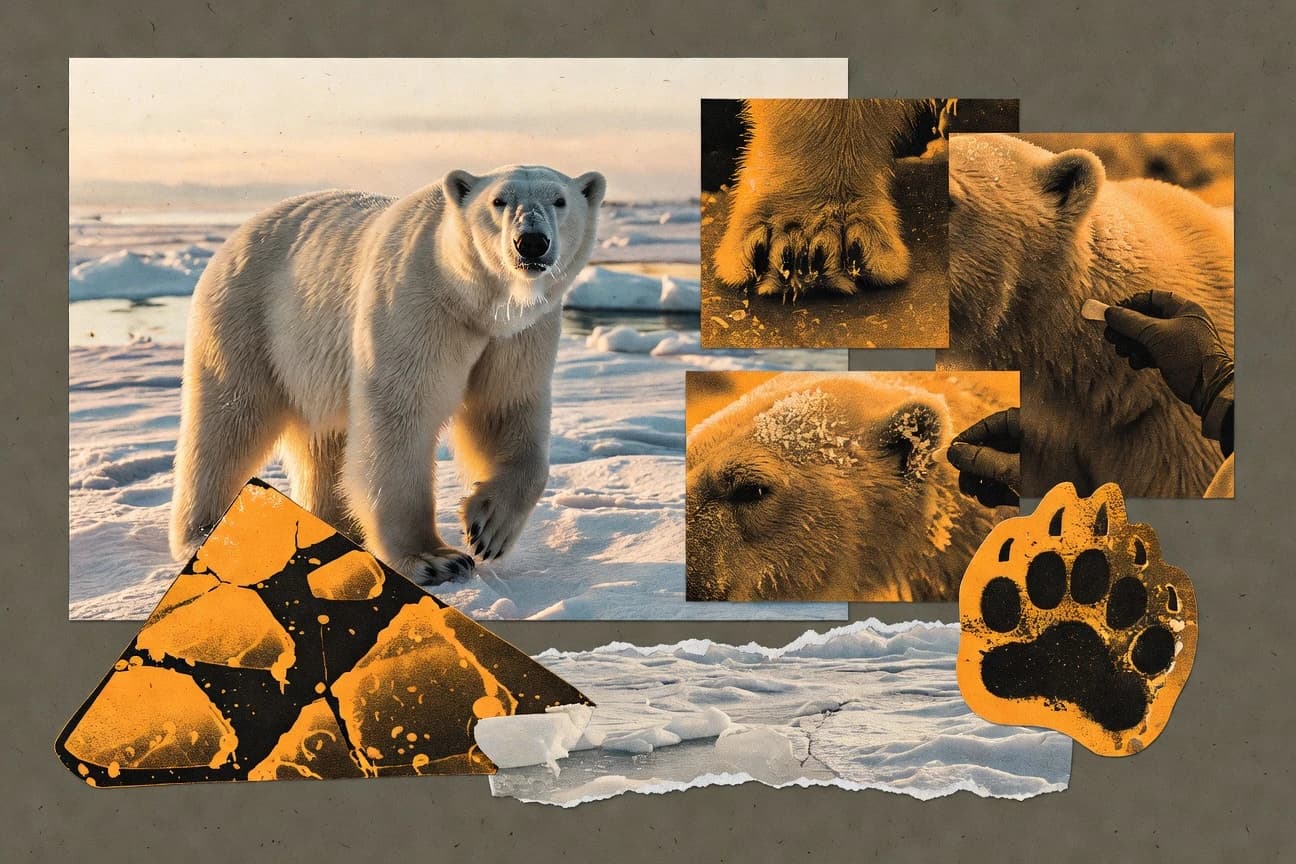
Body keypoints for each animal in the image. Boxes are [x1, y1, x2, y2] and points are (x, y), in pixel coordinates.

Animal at [169, 164, 607, 585]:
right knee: (228, 422)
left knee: (322, 439)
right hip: (248, 317)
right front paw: (435, 560)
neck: (472, 300)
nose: (531, 242)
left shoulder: (518, 334)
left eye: (559, 200)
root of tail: (237, 235)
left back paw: (333, 525)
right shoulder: (417, 304)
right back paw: (205, 532)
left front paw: (489, 529)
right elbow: (401, 417)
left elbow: (506, 407)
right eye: (498, 201)